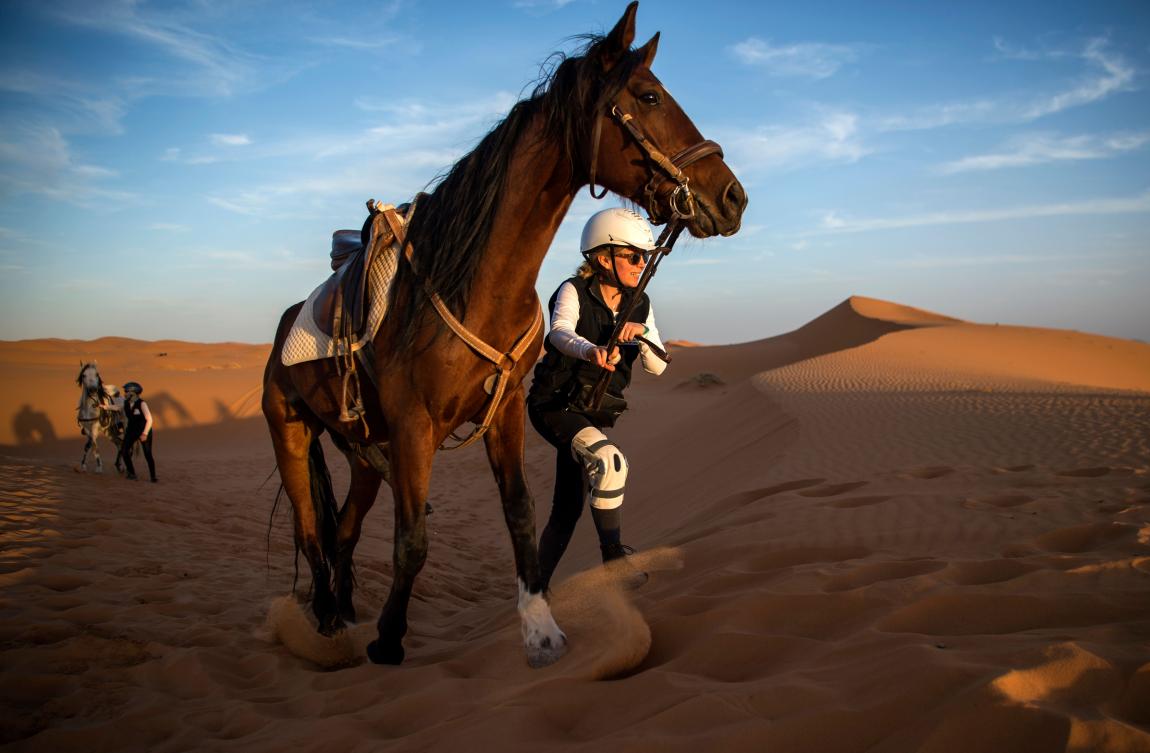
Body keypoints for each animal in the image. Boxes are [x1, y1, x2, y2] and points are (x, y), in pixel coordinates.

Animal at [262, 1, 747, 667]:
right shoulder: (415, 427)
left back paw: (339, 616)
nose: (733, 196)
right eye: (649, 96)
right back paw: (328, 630)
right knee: (312, 533)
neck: (475, 283)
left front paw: (539, 625)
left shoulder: (507, 412)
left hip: (362, 452)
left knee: (343, 532)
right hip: (291, 434)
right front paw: (389, 640)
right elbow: (412, 538)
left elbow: (519, 512)